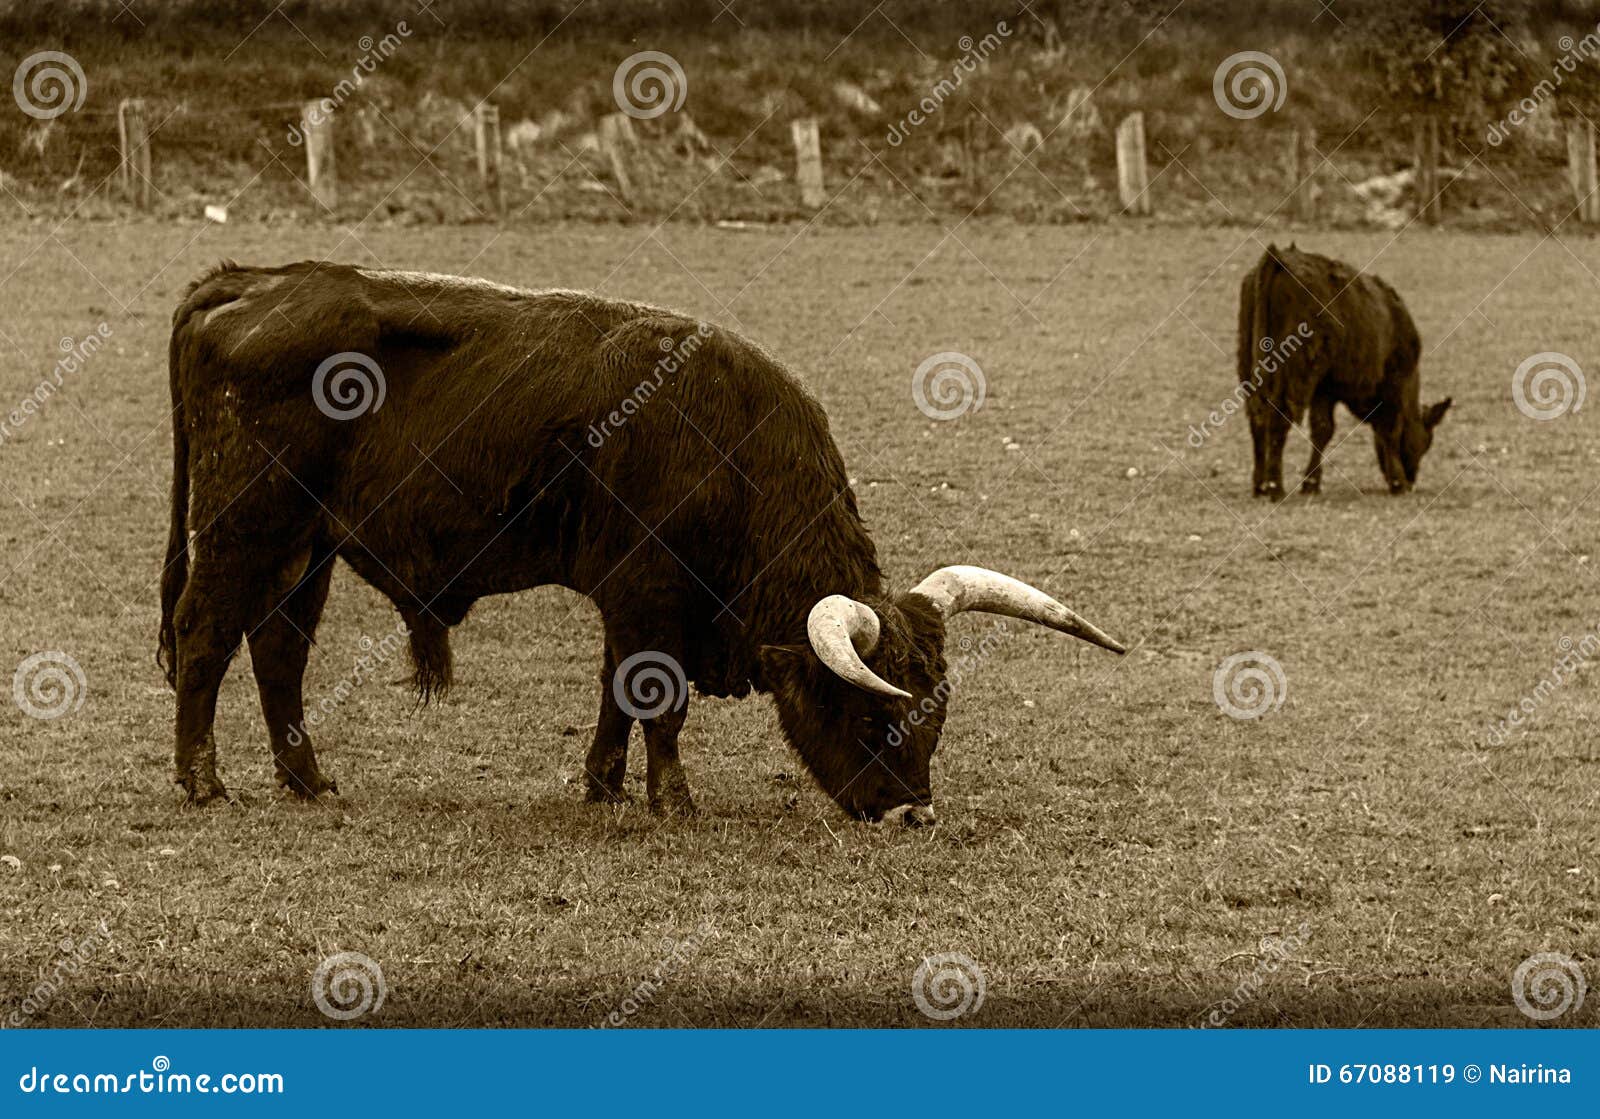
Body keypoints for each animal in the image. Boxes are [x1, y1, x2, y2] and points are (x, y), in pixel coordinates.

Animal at [157, 262, 1125, 827]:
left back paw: (307, 780)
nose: (911, 815)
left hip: (303, 548)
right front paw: (673, 798)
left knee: (278, 651)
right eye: (869, 714)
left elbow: (615, 691)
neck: (731, 444)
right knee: (207, 637)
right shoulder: (649, 593)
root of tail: (248, 281)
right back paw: (204, 782)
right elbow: (658, 698)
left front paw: (605, 783)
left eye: (938, 712)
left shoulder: (628, 603)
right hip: (244, 529)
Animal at [1236, 244, 1451, 498]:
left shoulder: (1325, 388)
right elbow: (1388, 428)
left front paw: (1311, 484)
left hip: (1249, 364)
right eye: (1425, 442)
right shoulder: (1392, 382)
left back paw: (1260, 486)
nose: (1412, 479)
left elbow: (1322, 428)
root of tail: (1277, 257)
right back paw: (1274, 487)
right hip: (1293, 373)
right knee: (1278, 417)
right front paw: (1398, 483)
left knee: (1257, 419)